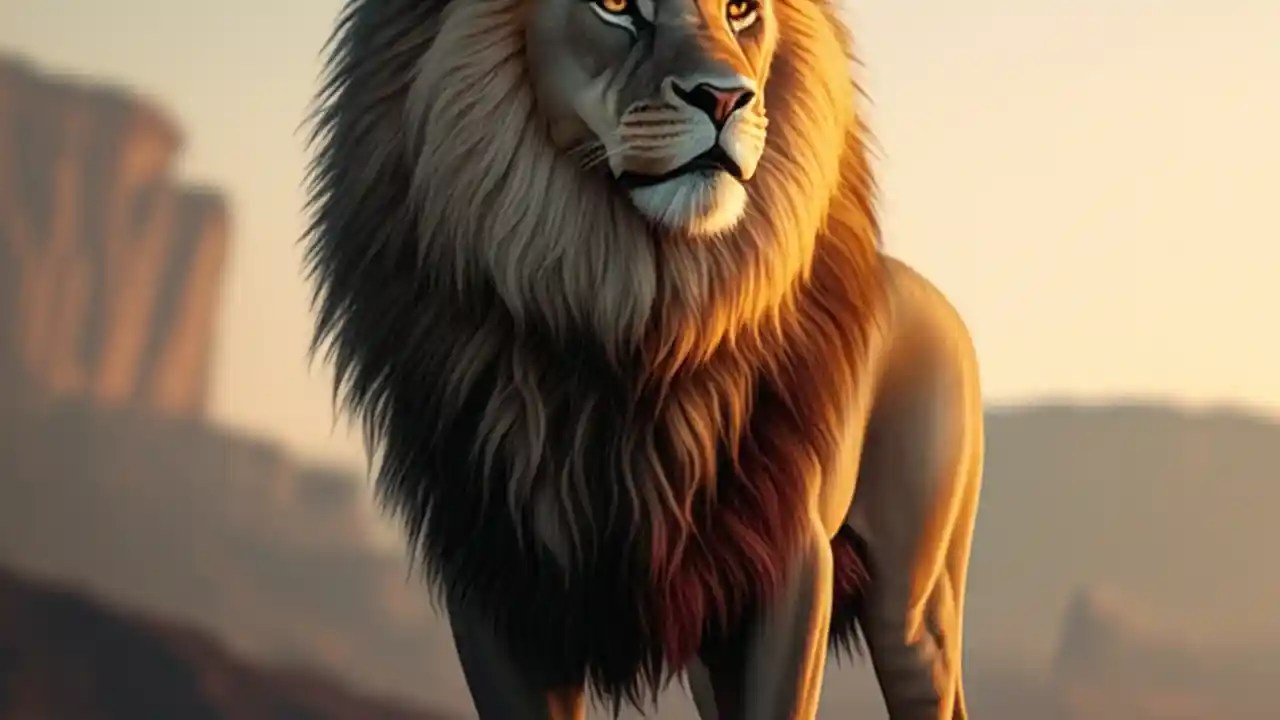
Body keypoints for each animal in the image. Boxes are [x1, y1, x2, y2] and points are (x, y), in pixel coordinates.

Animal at [304, 0, 984, 718]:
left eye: (741, 10)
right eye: (615, 6)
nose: (726, 98)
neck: (637, 313)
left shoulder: (790, 556)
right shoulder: (497, 574)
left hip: (912, 608)